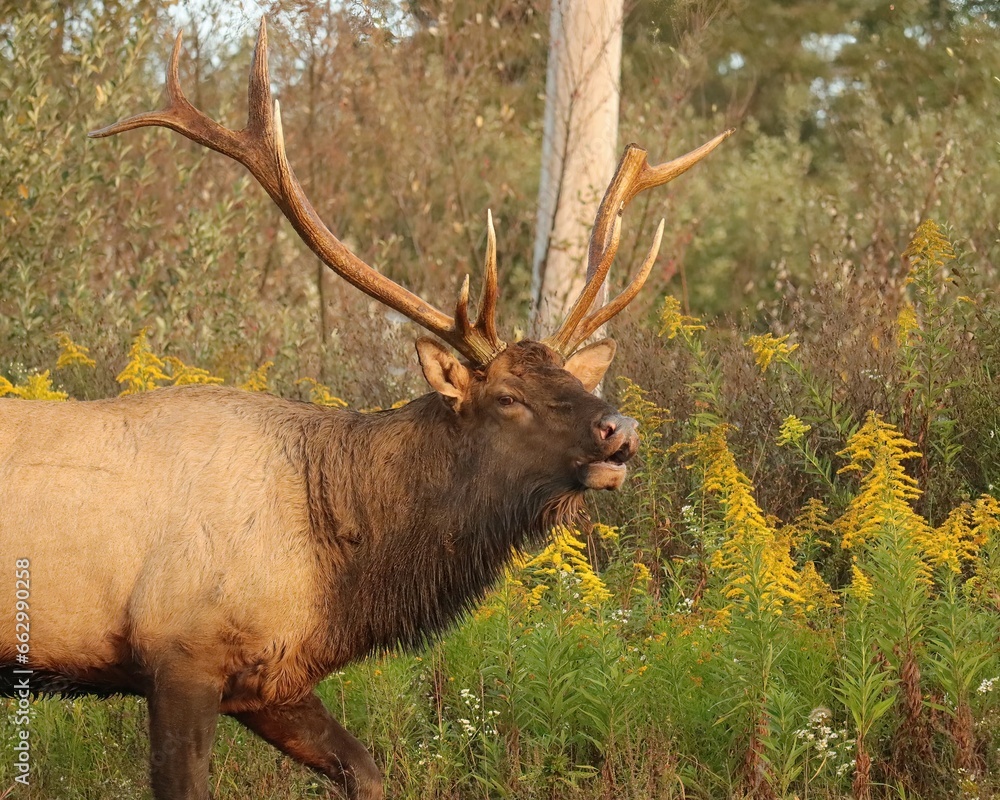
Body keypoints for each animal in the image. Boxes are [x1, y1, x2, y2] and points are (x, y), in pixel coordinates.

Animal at [0, 18, 730, 800]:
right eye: (507, 397)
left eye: (571, 376)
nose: (619, 429)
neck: (340, 576)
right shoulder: (178, 652)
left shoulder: (272, 679)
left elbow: (367, 771)